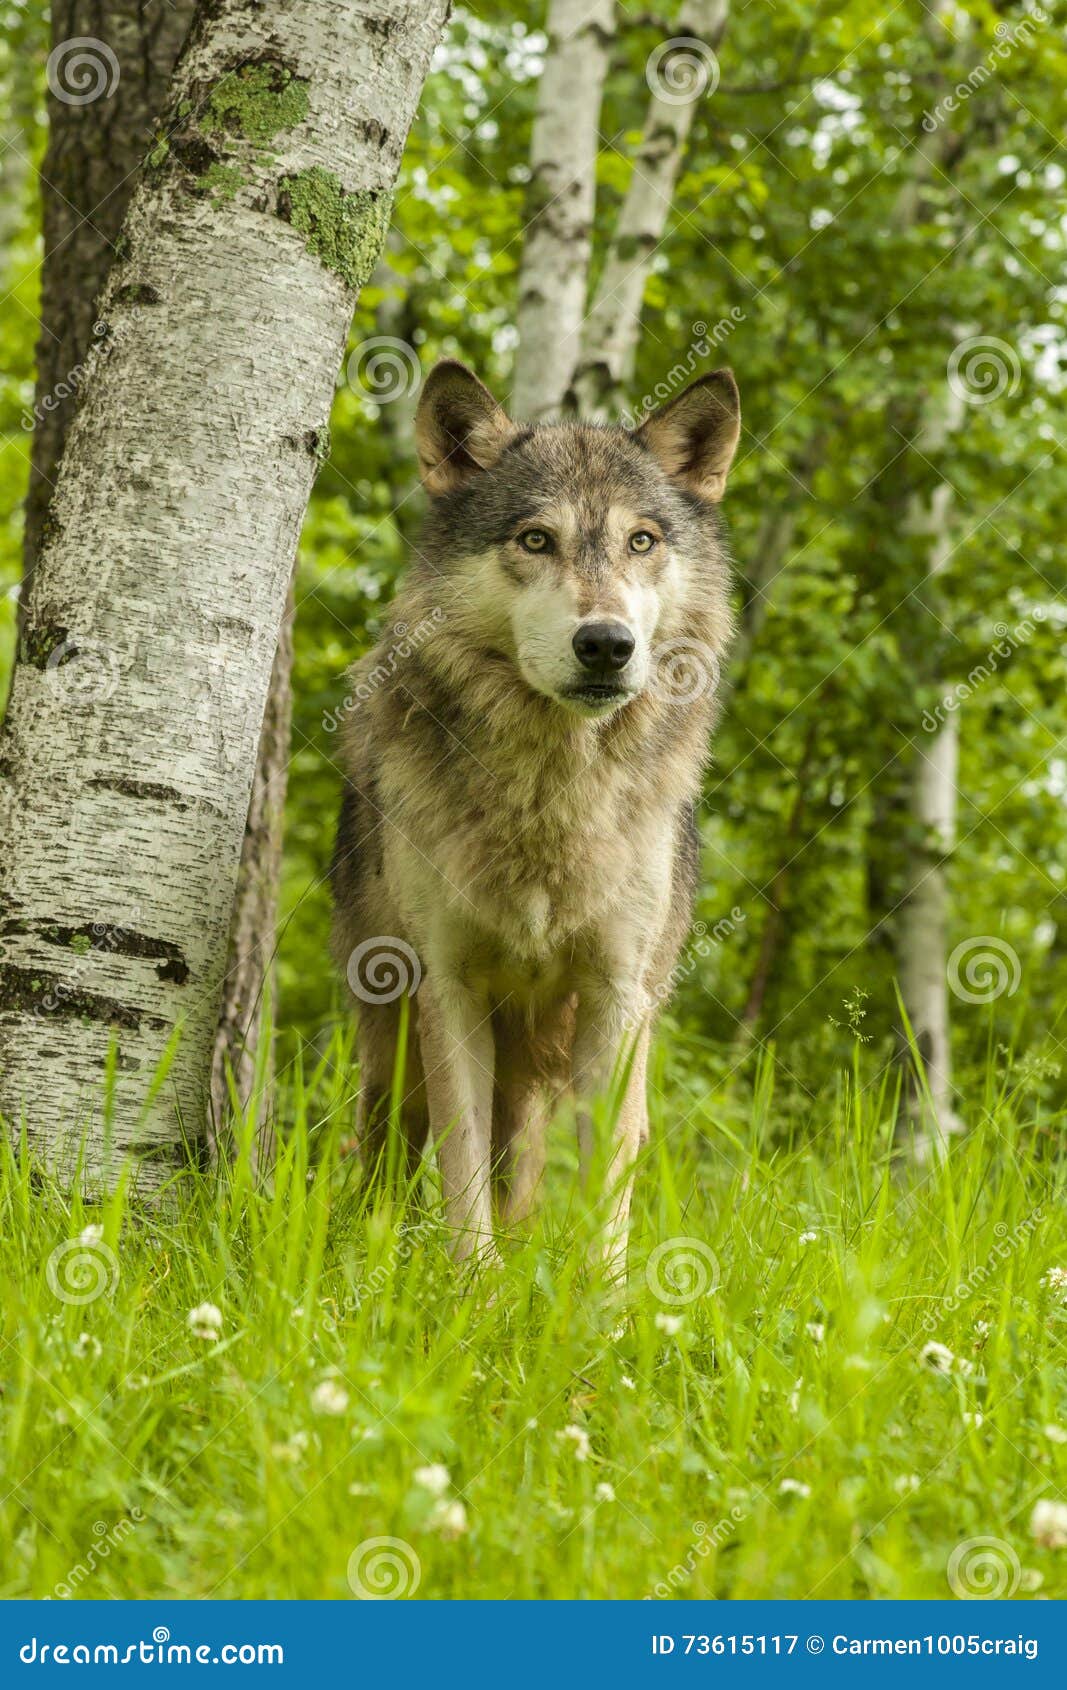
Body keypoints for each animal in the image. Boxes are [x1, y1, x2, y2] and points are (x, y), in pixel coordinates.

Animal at [330, 359, 740, 1276]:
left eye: (640, 542)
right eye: (534, 540)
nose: (606, 645)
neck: (551, 797)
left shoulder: (616, 999)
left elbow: (605, 1187)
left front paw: (599, 1305)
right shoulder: (446, 990)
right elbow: (460, 1178)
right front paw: (472, 1295)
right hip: (393, 1044)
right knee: (387, 1157)